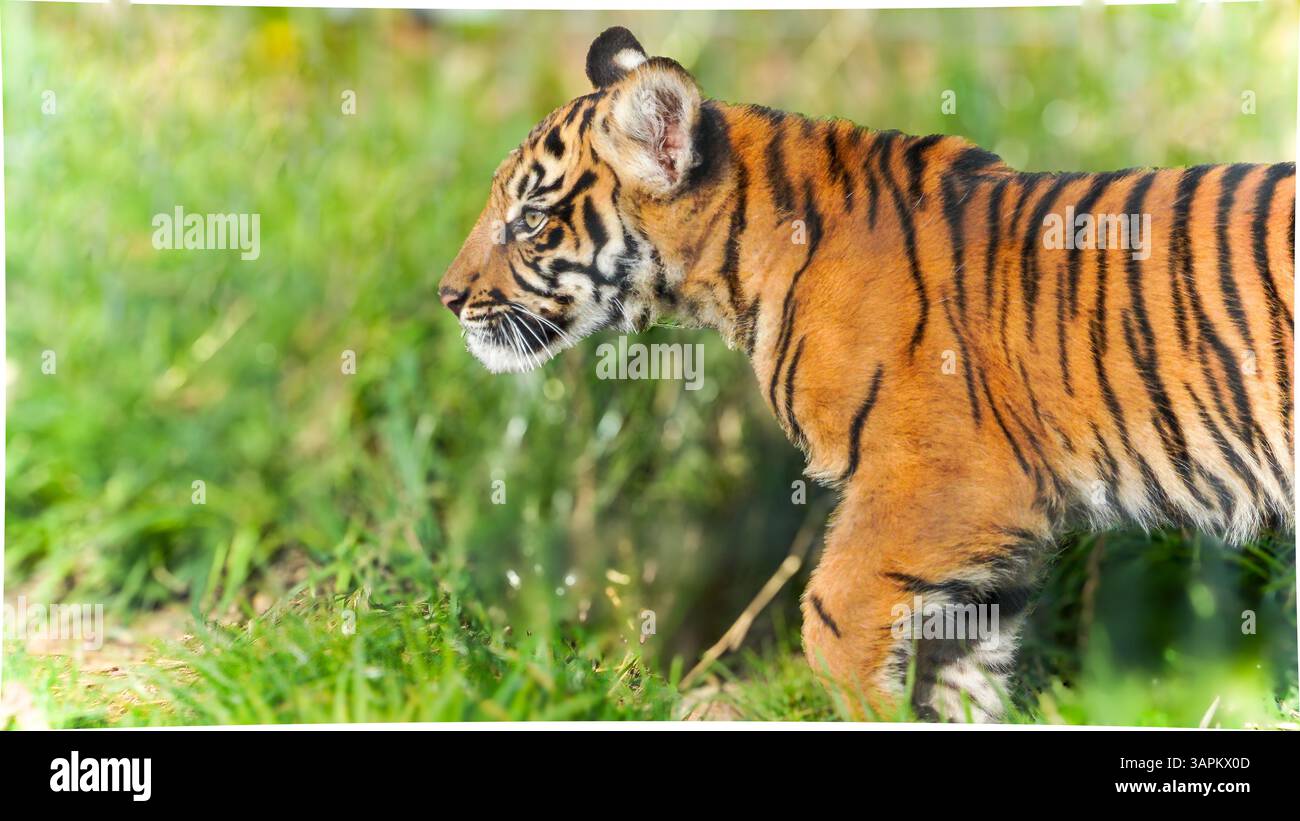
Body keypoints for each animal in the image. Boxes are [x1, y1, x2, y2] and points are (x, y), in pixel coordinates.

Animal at [438, 26, 1296, 721]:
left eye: (531, 220)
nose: (448, 297)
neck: (735, 267)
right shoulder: (990, 540)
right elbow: (959, 670)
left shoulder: (939, 479)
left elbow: (832, 613)